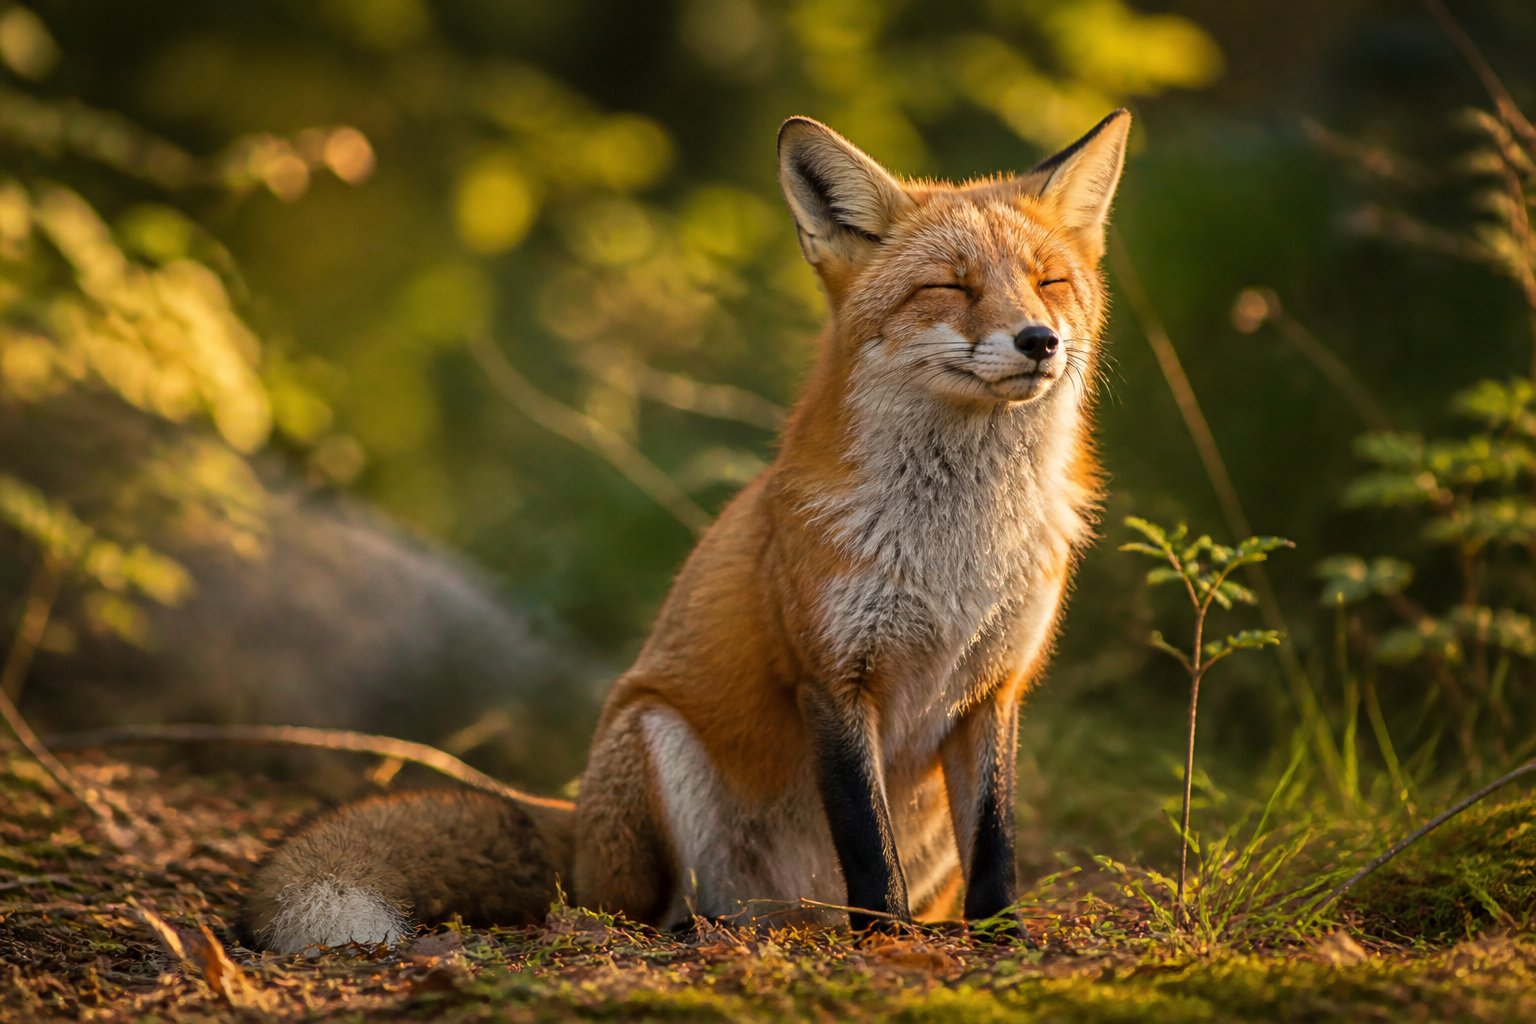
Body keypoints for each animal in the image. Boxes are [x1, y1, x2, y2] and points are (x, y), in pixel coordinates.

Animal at [243, 108, 1131, 952]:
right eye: (951, 285)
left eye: (1050, 281)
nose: (1039, 341)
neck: (957, 549)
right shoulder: (832, 676)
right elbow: (868, 846)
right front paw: (887, 938)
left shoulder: (994, 688)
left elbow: (997, 842)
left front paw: (1002, 939)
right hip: (655, 738)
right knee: (634, 910)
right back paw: (708, 932)